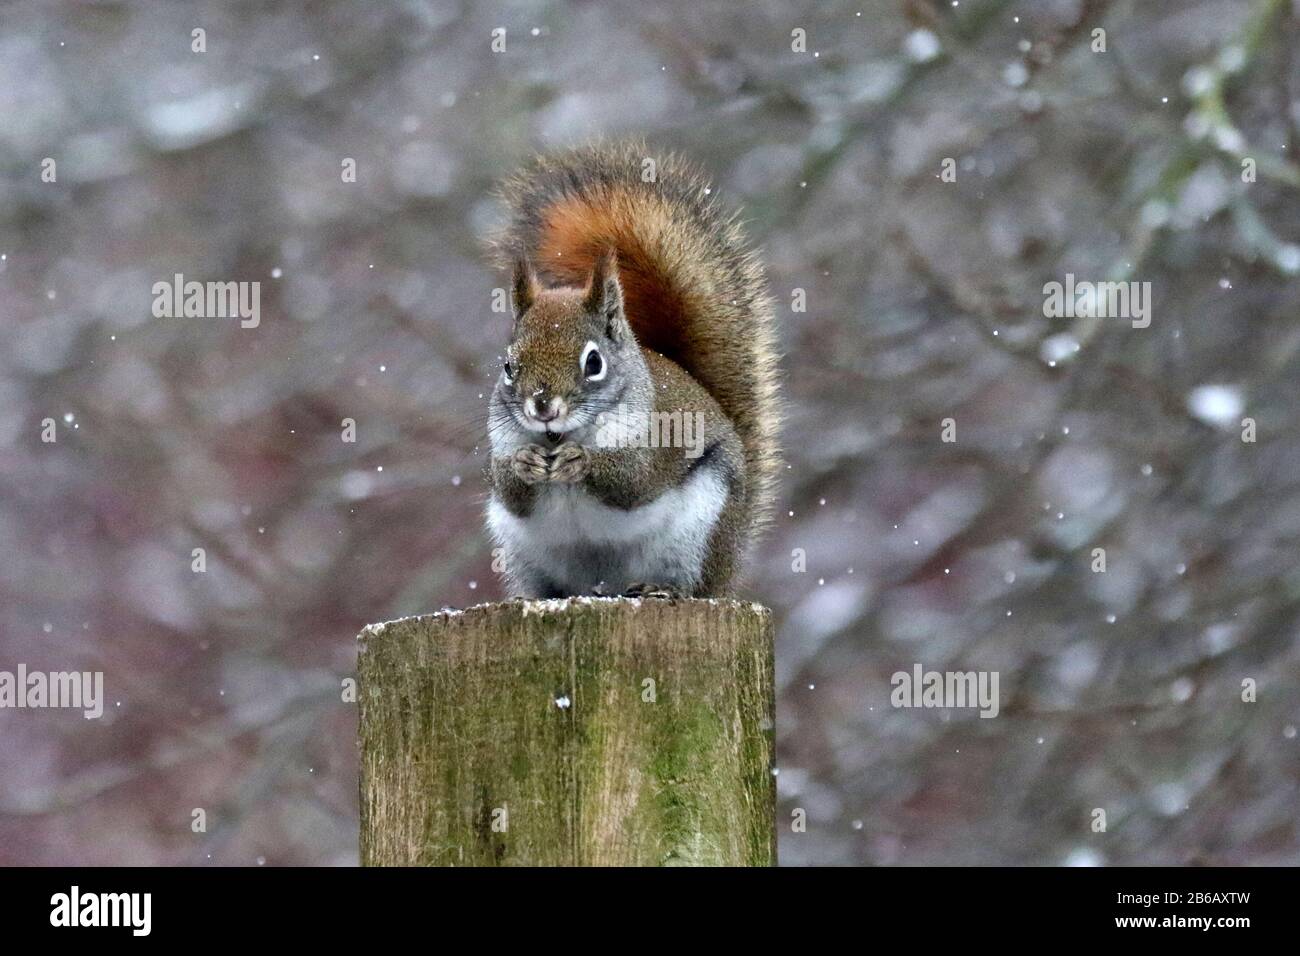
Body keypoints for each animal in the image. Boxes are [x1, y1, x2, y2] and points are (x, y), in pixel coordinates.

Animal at [484, 141, 780, 599]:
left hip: (701, 528)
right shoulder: (501, 442)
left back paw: (665, 590)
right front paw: (525, 461)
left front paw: (581, 461)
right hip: (519, 550)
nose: (543, 407)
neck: (562, 434)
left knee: (691, 583)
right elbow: (510, 489)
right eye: (508, 366)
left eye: (594, 362)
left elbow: (633, 481)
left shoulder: (657, 437)